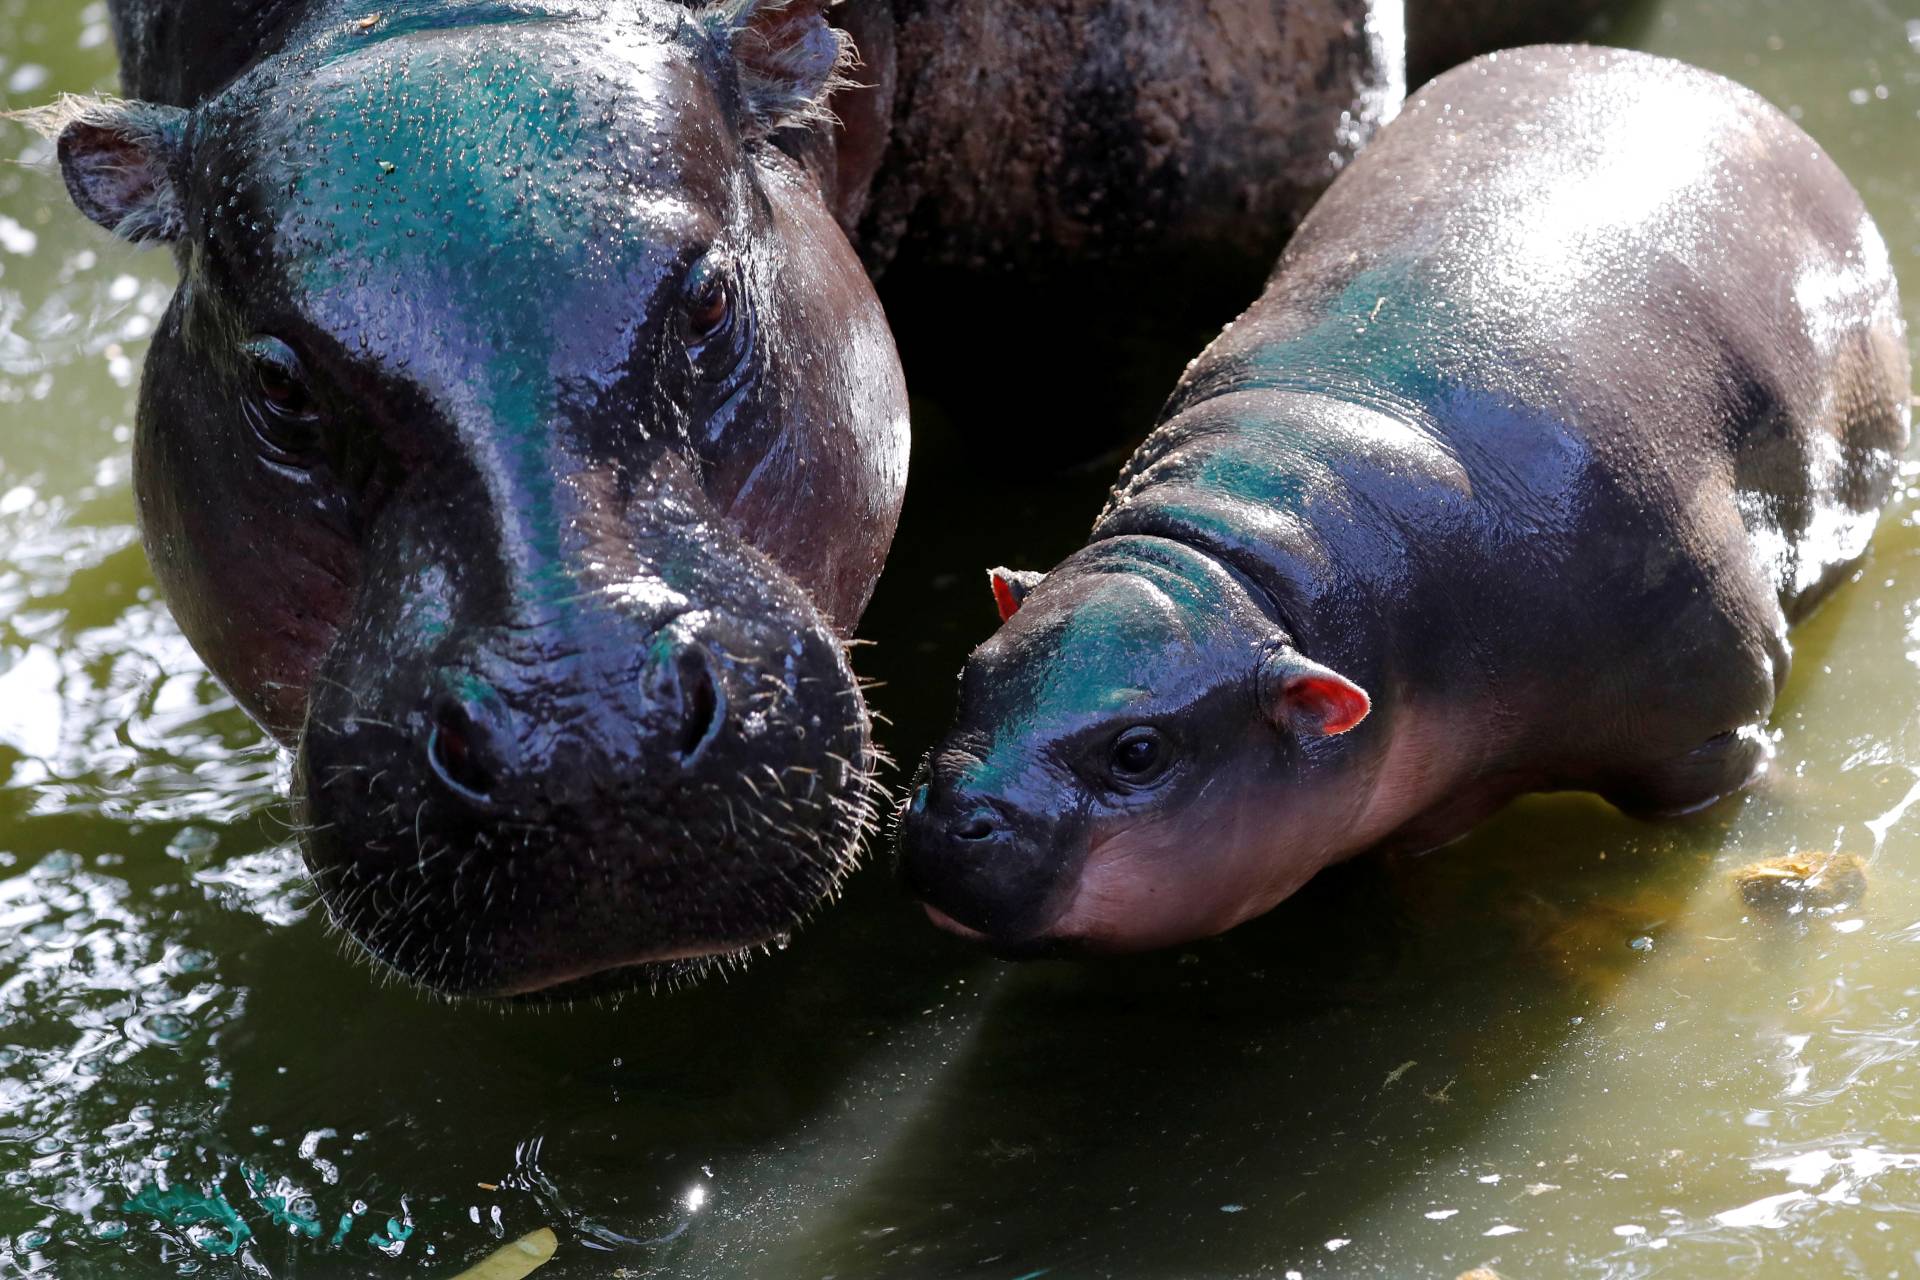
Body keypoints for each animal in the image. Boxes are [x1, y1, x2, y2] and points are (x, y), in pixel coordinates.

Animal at [898, 46, 1912, 954]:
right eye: (971, 671)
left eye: (1138, 751)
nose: (953, 819)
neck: (1247, 572)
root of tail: (1674, 68)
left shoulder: (1705, 724)